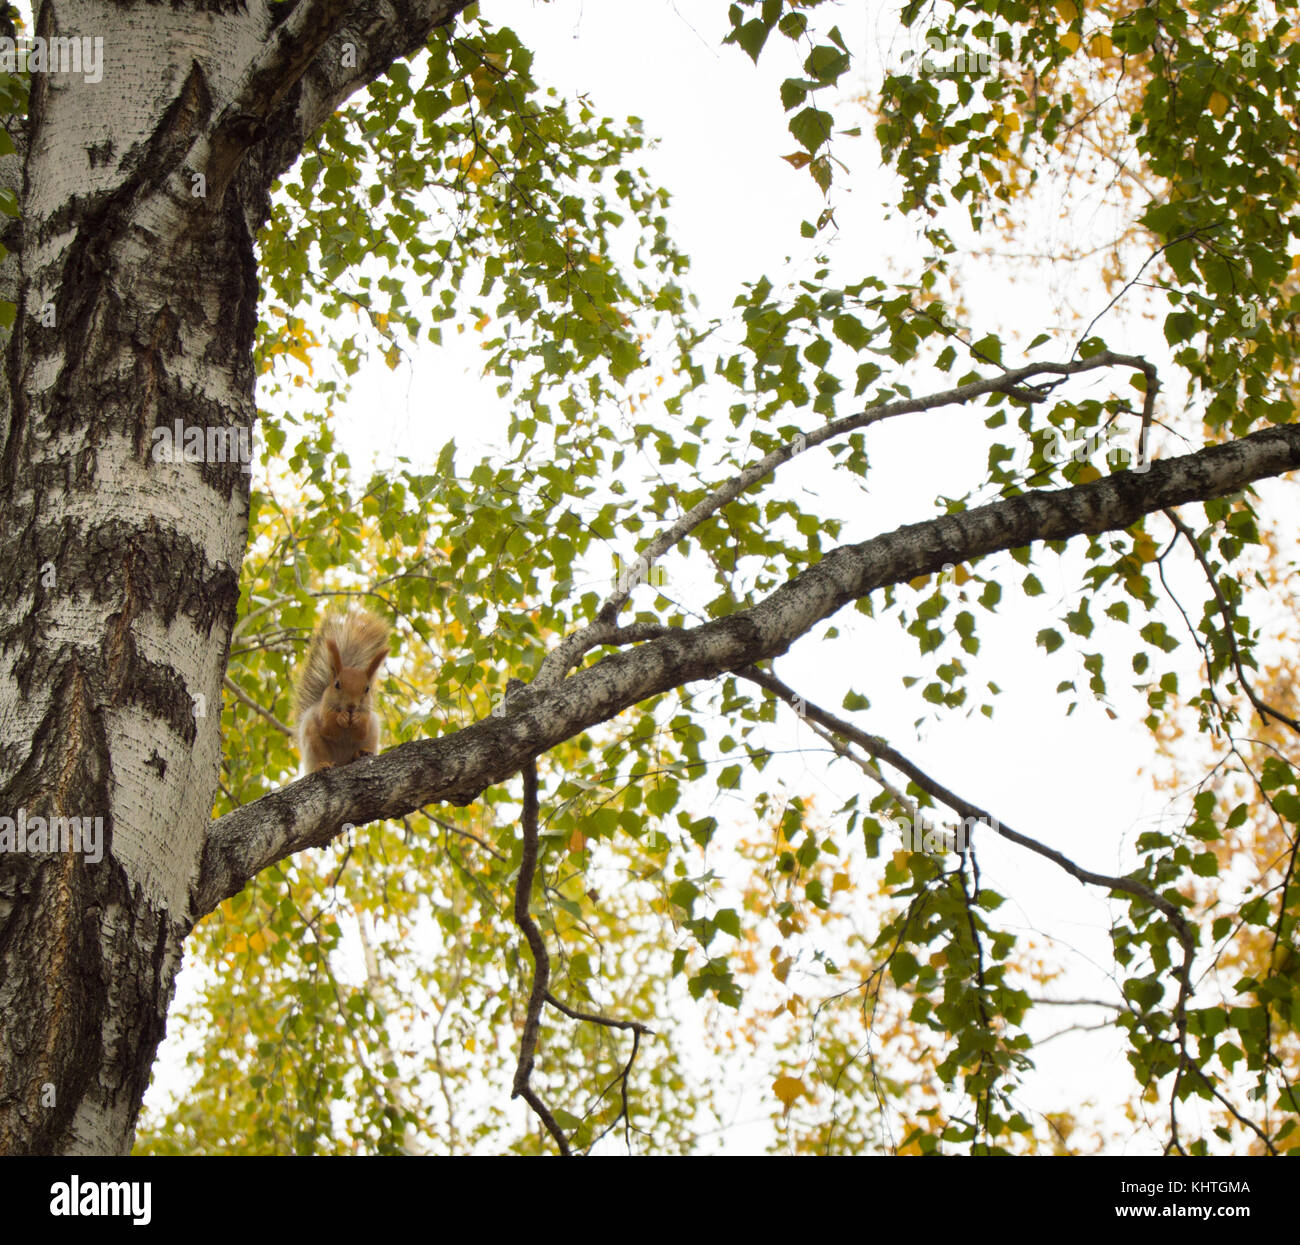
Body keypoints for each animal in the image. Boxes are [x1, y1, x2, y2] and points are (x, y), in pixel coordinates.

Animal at [293, 607, 392, 775]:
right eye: (337, 684)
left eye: (367, 688)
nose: (351, 707)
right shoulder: (323, 712)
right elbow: (328, 727)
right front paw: (341, 718)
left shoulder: (367, 717)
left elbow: (362, 730)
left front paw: (357, 718)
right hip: (313, 743)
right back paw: (322, 765)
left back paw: (359, 754)